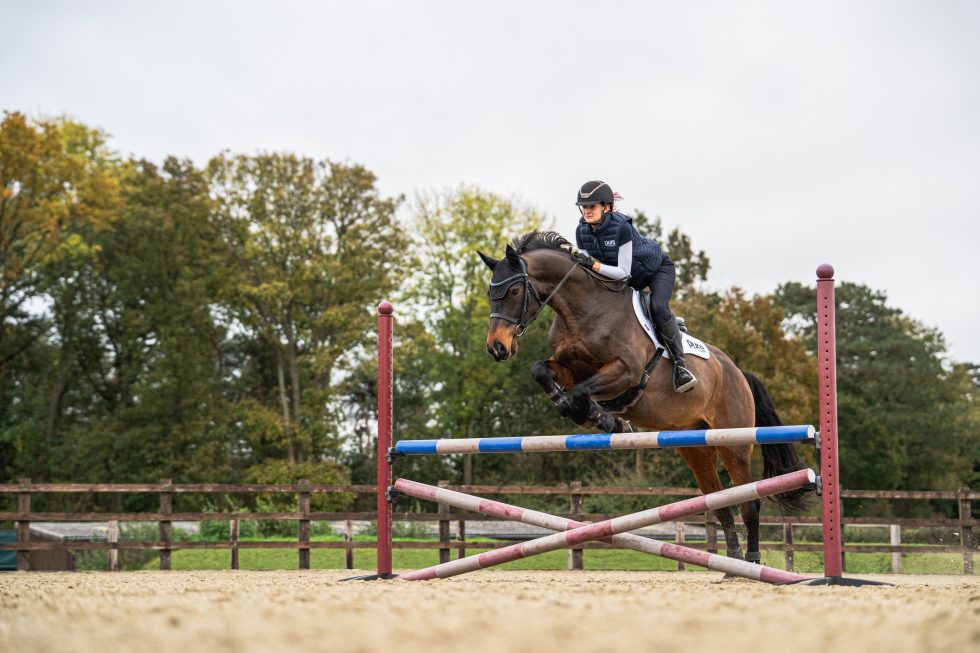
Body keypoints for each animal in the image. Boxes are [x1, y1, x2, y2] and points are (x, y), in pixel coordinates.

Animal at [478, 231, 808, 564]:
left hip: (735, 444)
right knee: (720, 503)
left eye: (514, 290)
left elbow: (583, 394)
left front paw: (603, 419)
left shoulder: (627, 373)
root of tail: (738, 372)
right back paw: (732, 563)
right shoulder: (570, 369)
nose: (497, 347)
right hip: (695, 447)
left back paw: (751, 560)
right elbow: (540, 371)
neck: (582, 310)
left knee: (749, 502)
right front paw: (574, 408)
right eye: (491, 293)